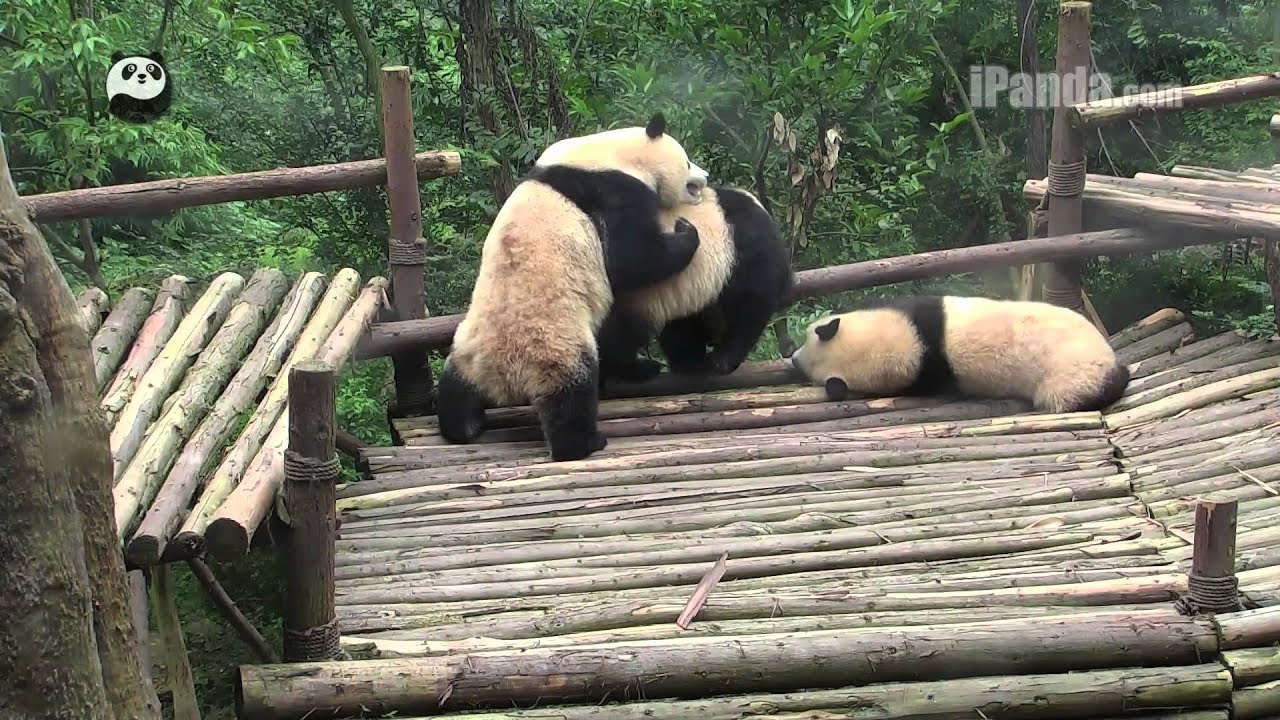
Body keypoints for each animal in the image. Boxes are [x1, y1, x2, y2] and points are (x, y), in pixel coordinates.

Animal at [435, 113, 710, 461]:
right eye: (686, 161)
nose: (705, 176)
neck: (611, 152)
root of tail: (504, 377)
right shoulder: (614, 191)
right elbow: (631, 258)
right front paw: (687, 233)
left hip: (469, 349)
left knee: (455, 388)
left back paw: (462, 427)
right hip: (555, 345)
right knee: (571, 394)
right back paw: (584, 443)